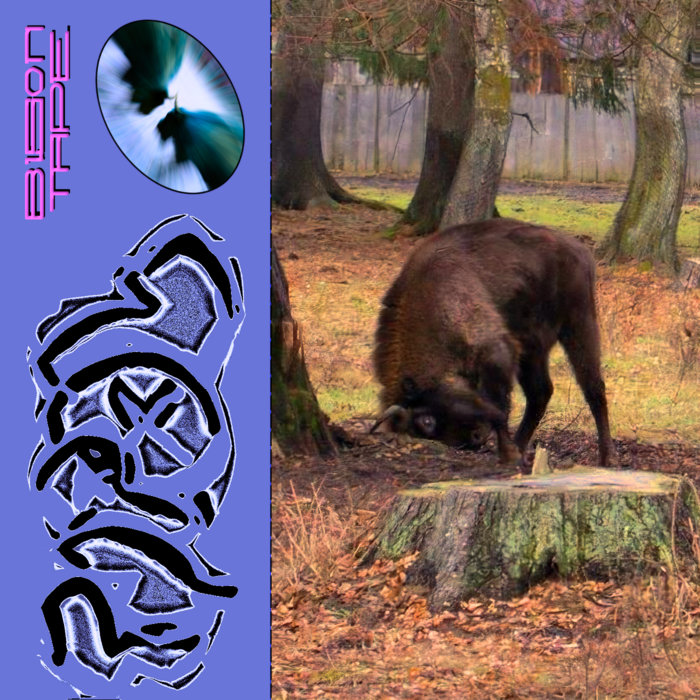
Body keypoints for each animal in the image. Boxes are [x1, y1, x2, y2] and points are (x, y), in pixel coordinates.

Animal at [372, 218, 613, 468]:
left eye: (427, 420)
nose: (474, 439)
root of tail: (578, 250)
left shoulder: (495, 352)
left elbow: (499, 407)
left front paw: (507, 454)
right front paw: (511, 454)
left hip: (579, 326)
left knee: (593, 388)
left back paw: (607, 458)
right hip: (533, 350)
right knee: (540, 393)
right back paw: (521, 446)